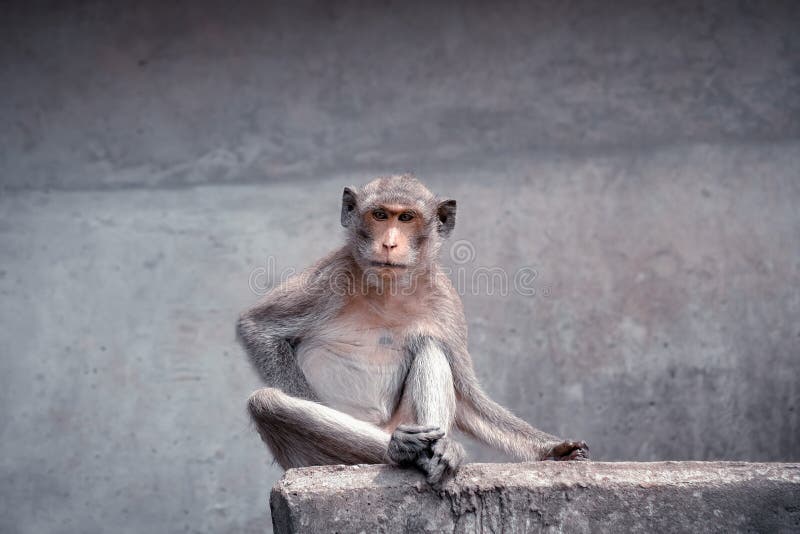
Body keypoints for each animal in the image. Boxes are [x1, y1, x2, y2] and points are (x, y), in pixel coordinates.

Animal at [237, 174, 588, 489]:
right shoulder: (331, 276)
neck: (388, 291)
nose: (389, 243)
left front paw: (551, 450)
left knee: (431, 348)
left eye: (406, 217)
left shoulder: (445, 304)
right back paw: (401, 449)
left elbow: (468, 399)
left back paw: (438, 452)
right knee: (268, 402)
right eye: (380, 215)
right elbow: (257, 327)